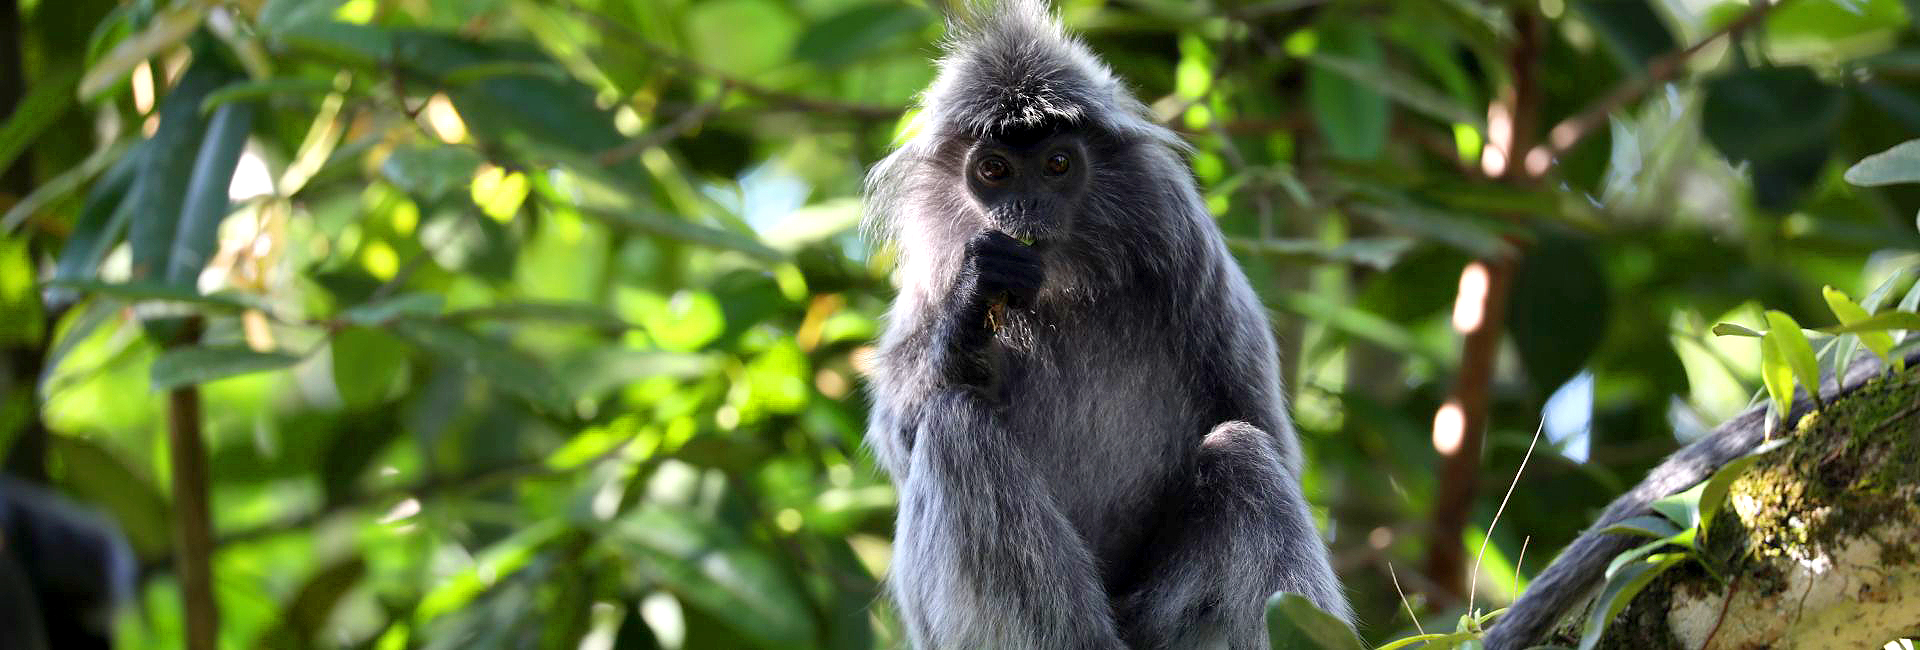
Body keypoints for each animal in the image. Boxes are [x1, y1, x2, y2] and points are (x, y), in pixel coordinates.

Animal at [860, 2, 1349, 648]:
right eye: (993, 170)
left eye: (1057, 164)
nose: (1025, 212)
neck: (1059, 287)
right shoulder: (927, 282)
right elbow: (902, 437)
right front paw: (973, 302)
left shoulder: (1187, 245)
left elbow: (1266, 432)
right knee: (955, 425)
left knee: (1243, 452)